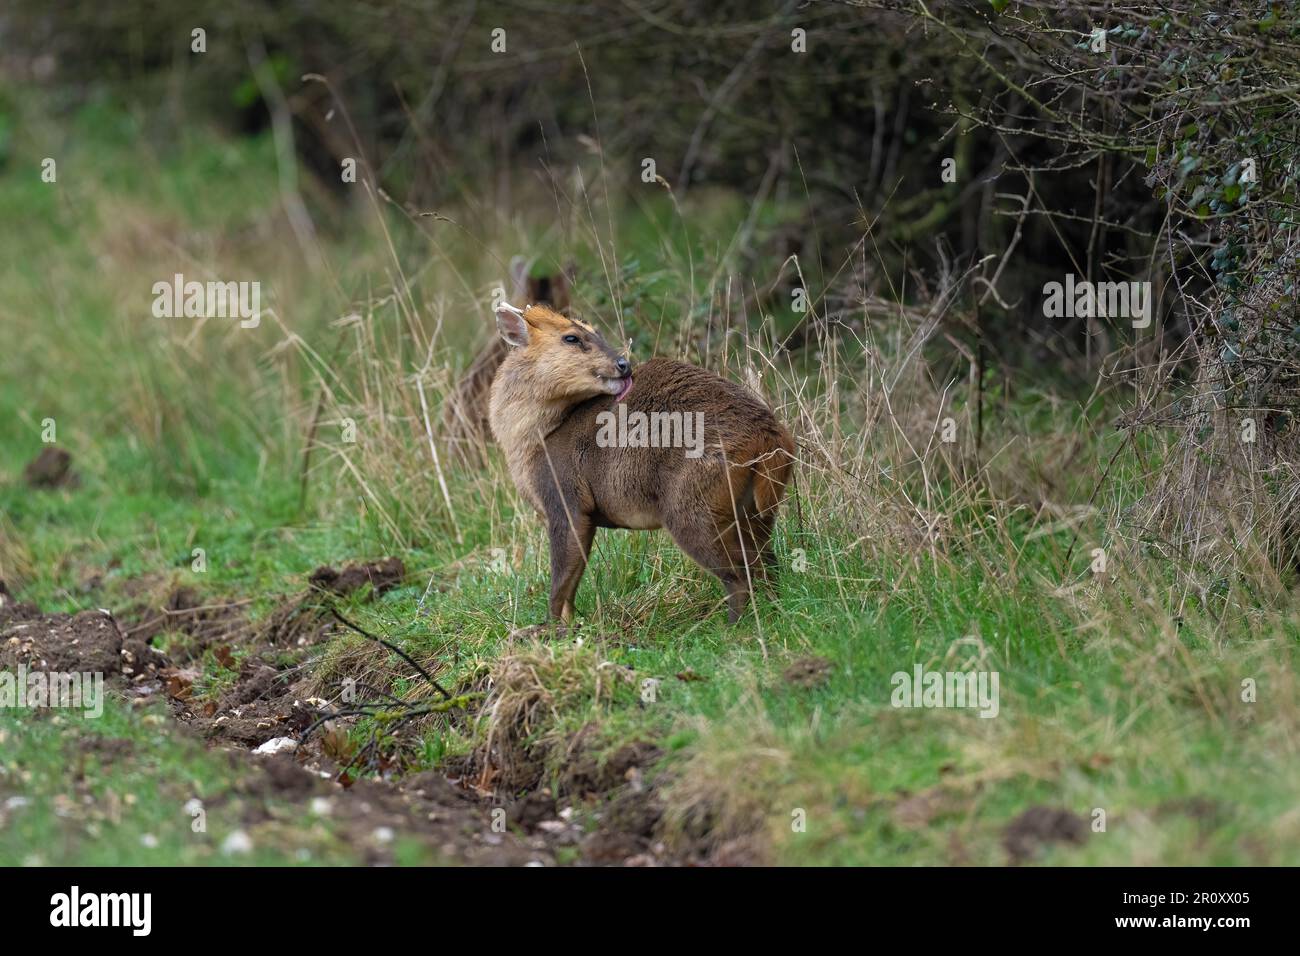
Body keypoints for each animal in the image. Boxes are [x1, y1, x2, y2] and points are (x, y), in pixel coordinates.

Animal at [488, 302, 795, 624]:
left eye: (594, 332)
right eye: (572, 337)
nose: (624, 364)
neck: (537, 440)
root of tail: (769, 437)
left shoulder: (566, 499)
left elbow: (560, 582)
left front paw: (550, 629)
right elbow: (572, 585)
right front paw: (572, 625)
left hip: (693, 508)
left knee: (740, 573)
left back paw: (731, 626)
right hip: (755, 511)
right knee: (768, 564)